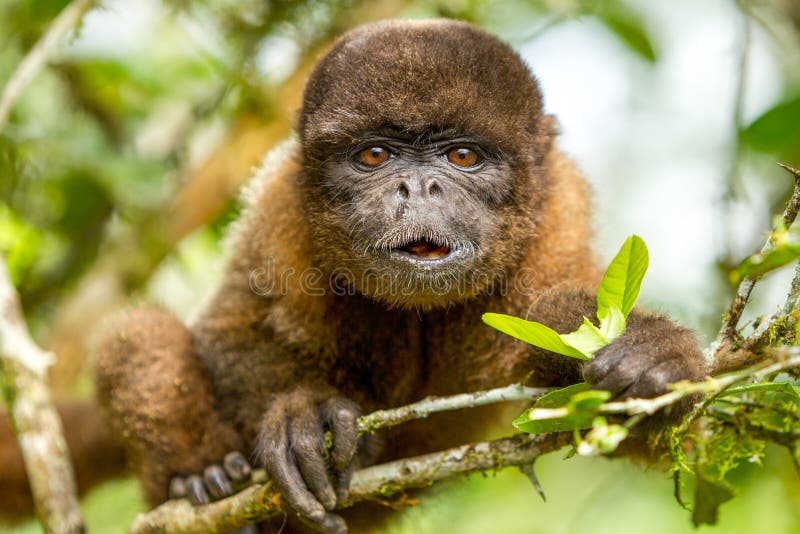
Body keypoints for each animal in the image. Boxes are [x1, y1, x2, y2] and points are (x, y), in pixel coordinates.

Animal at [94, 18, 708, 534]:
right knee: (136, 335)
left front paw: (652, 354)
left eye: (462, 156)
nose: (416, 187)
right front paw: (302, 416)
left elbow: (556, 326)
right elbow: (233, 332)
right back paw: (202, 479)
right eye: (374, 156)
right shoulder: (279, 209)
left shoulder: (559, 211)